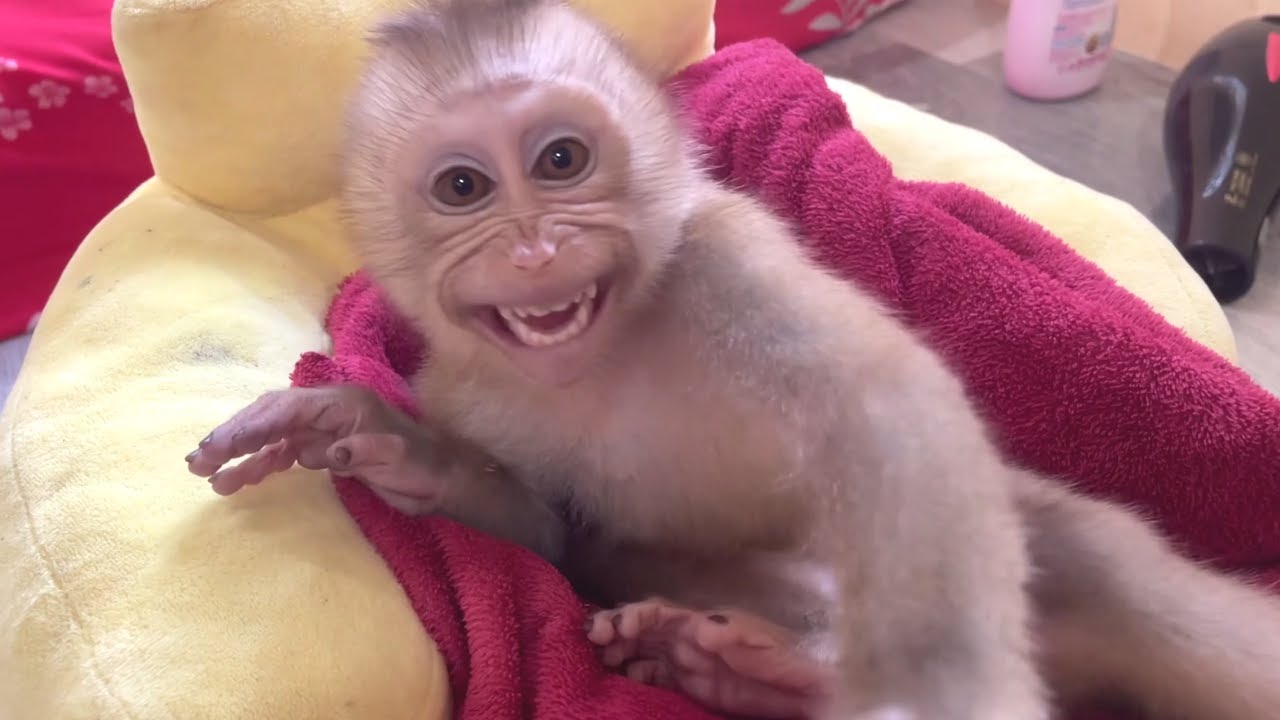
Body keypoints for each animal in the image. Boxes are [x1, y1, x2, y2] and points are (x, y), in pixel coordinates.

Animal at [184, 1, 1280, 718]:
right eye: (463, 187)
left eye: (560, 161)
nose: (534, 250)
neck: (601, 356)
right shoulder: (459, 384)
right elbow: (547, 531)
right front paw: (370, 439)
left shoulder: (724, 260)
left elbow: (882, 404)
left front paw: (931, 689)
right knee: (621, 552)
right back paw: (754, 671)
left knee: (1098, 568)